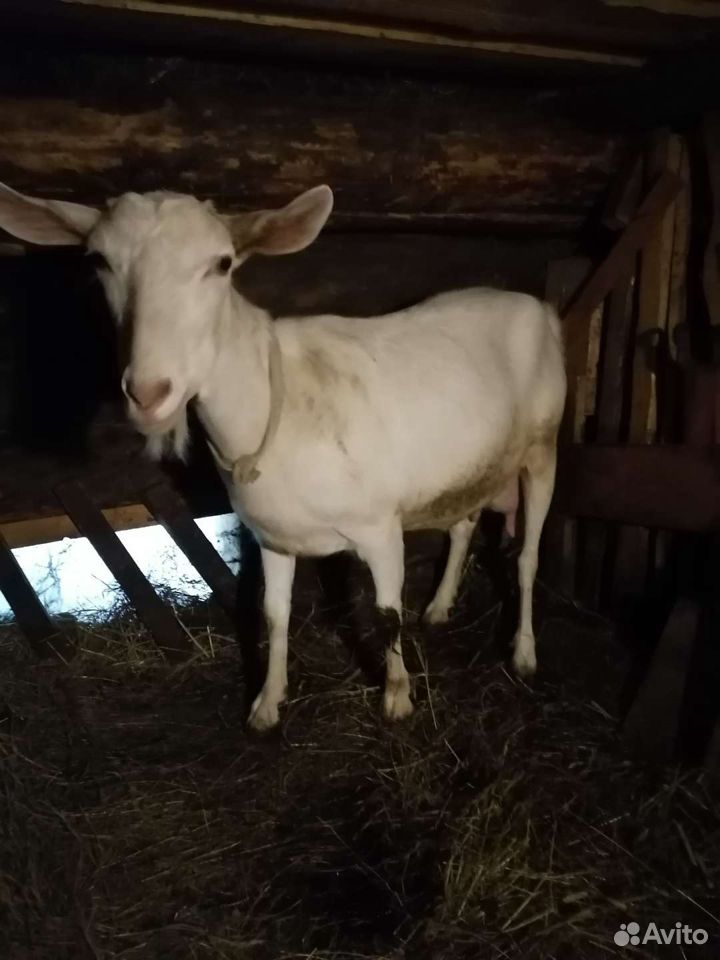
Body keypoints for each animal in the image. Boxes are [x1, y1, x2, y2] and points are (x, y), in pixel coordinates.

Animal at [0, 182, 566, 730]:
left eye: (222, 263)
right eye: (99, 261)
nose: (148, 392)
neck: (276, 402)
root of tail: (535, 306)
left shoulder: (380, 527)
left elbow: (386, 615)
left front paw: (398, 699)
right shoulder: (272, 535)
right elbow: (273, 614)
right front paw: (267, 704)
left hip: (543, 447)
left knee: (528, 555)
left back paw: (524, 654)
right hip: (476, 461)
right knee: (464, 524)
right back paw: (441, 606)